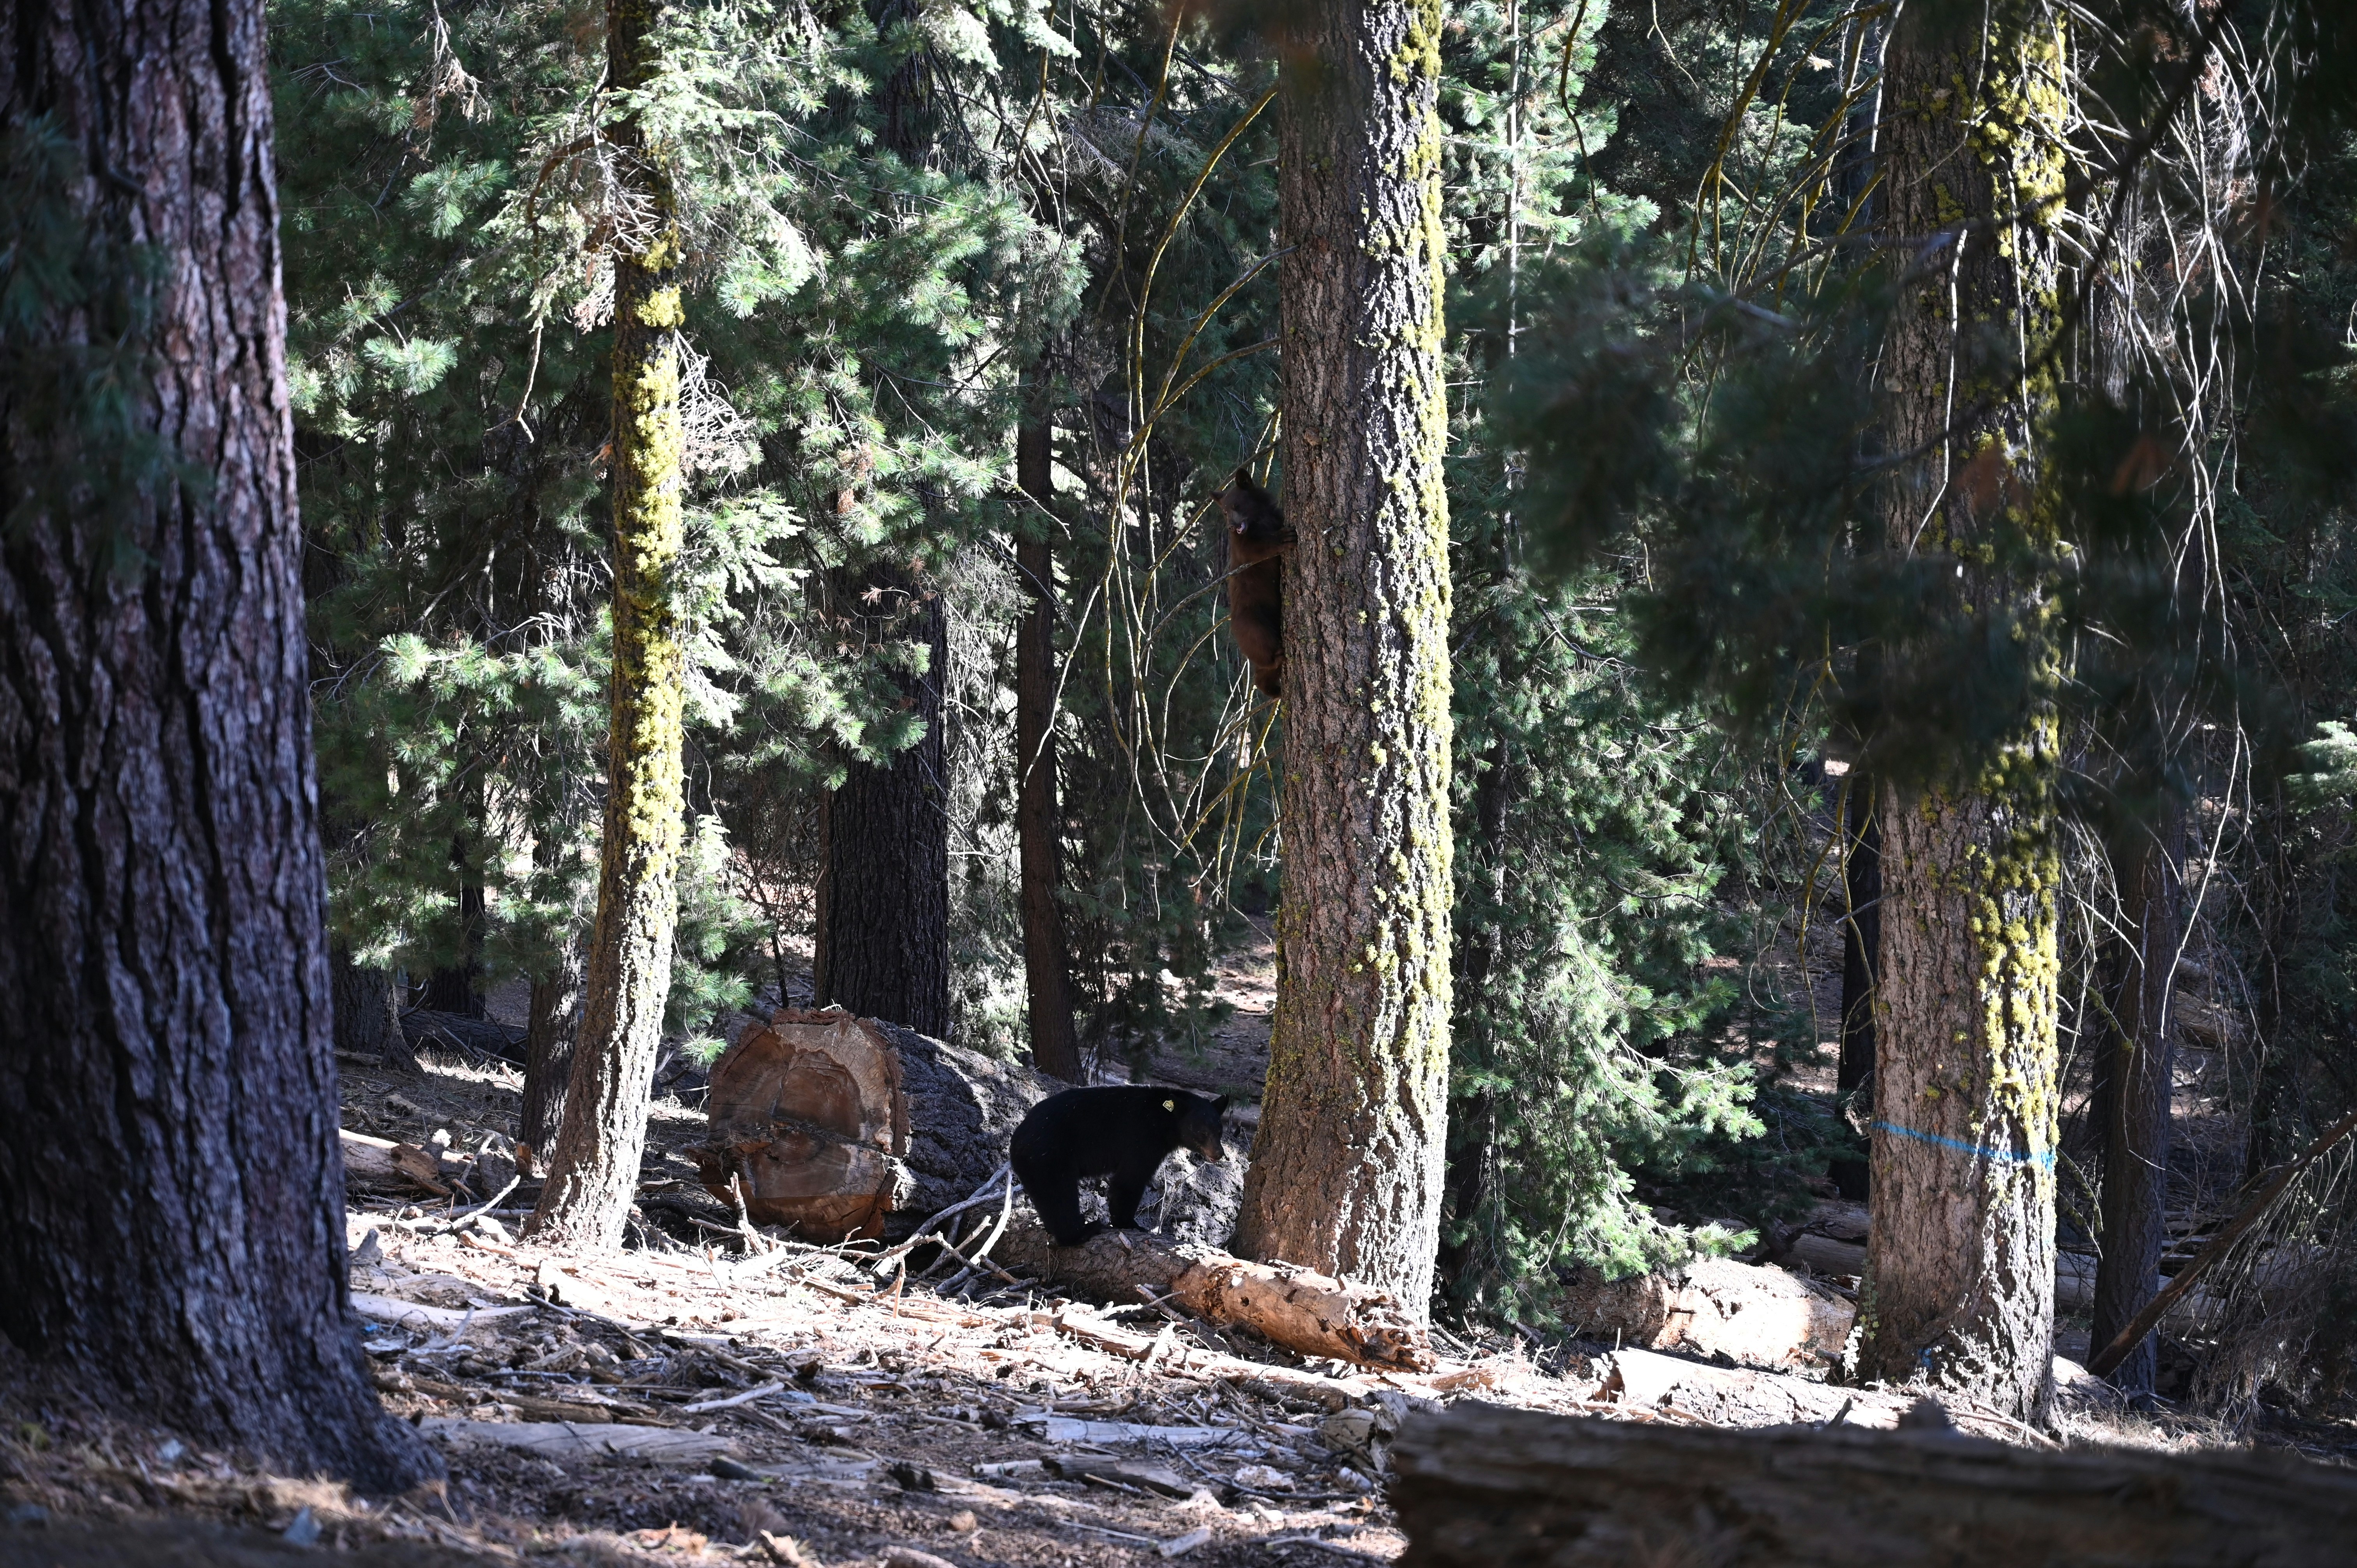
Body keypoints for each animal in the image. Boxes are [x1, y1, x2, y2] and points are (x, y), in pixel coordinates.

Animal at [1009, 1085, 1231, 1247]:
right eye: (1202, 1132)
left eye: (1219, 1130)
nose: (1218, 1153)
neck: (1164, 1120)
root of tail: (1018, 1136)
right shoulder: (1142, 1138)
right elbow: (1130, 1179)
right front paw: (1130, 1224)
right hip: (1049, 1156)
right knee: (1059, 1197)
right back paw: (1081, 1233)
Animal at [1215, 470, 1290, 698]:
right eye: (1224, 512)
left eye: (1236, 505)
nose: (1231, 525)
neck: (1259, 518)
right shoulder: (1241, 546)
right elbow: (1256, 550)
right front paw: (1285, 538)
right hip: (1252, 622)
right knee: (1262, 644)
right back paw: (1277, 657)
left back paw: (1273, 689)